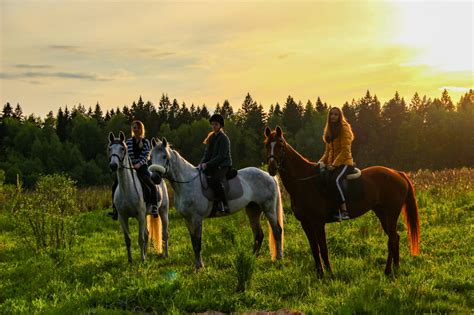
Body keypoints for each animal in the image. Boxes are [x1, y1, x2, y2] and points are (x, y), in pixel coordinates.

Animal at [108, 132, 170, 262]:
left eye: (122, 148)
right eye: (110, 148)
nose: (113, 165)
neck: (127, 189)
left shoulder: (140, 216)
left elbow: (140, 239)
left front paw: (142, 260)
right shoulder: (122, 217)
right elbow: (128, 239)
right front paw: (131, 260)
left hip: (163, 211)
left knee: (165, 233)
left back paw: (166, 254)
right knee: (147, 234)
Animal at [148, 137, 284, 270]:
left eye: (164, 156)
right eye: (151, 157)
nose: (154, 178)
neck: (187, 183)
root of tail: (268, 175)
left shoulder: (197, 218)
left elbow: (198, 243)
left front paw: (200, 267)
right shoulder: (187, 219)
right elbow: (193, 242)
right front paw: (197, 265)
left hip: (268, 208)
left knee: (277, 230)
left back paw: (279, 257)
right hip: (253, 209)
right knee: (258, 234)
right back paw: (253, 257)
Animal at [264, 126, 420, 278]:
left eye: (280, 145)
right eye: (266, 145)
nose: (271, 168)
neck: (305, 182)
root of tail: (397, 173)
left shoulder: (318, 222)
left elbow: (323, 249)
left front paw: (330, 274)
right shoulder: (306, 223)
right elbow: (314, 249)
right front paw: (320, 274)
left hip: (391, 214)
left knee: (392, 239)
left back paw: (388, 271)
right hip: (382, 214)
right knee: (395, 238)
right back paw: (395, 268)